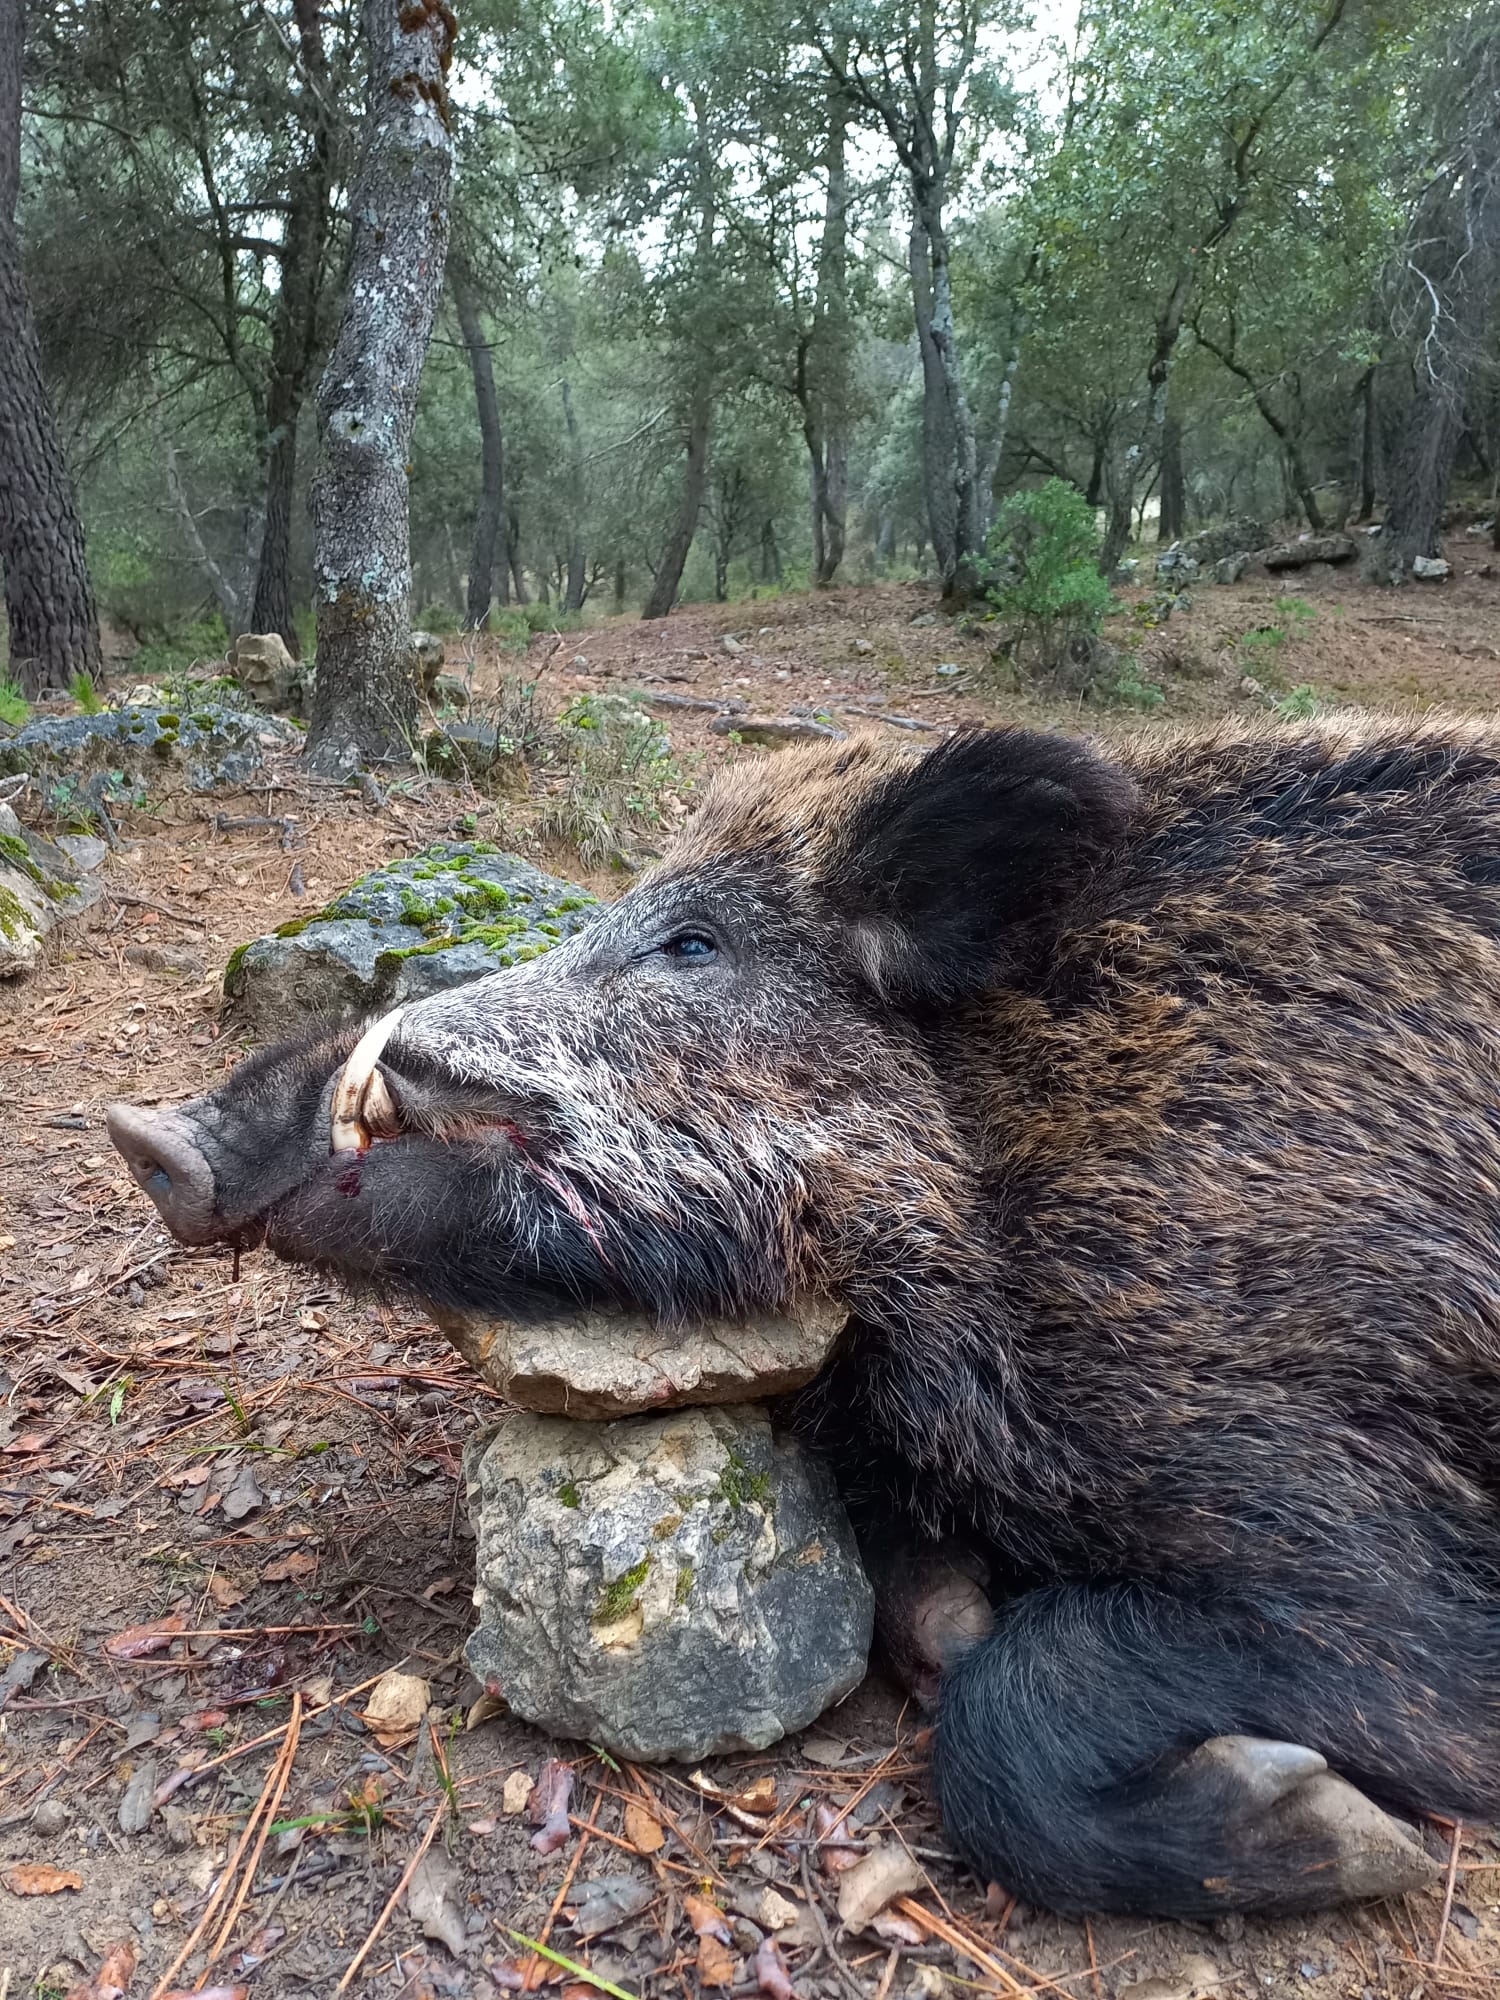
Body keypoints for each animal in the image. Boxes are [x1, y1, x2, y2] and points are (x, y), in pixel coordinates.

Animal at [108, 719, 1500, 1918]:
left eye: (692, 945)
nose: (151, 1131)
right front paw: (948, 1617)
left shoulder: (1301, 1472)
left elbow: (1019, 1713)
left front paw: (1358, 1837)